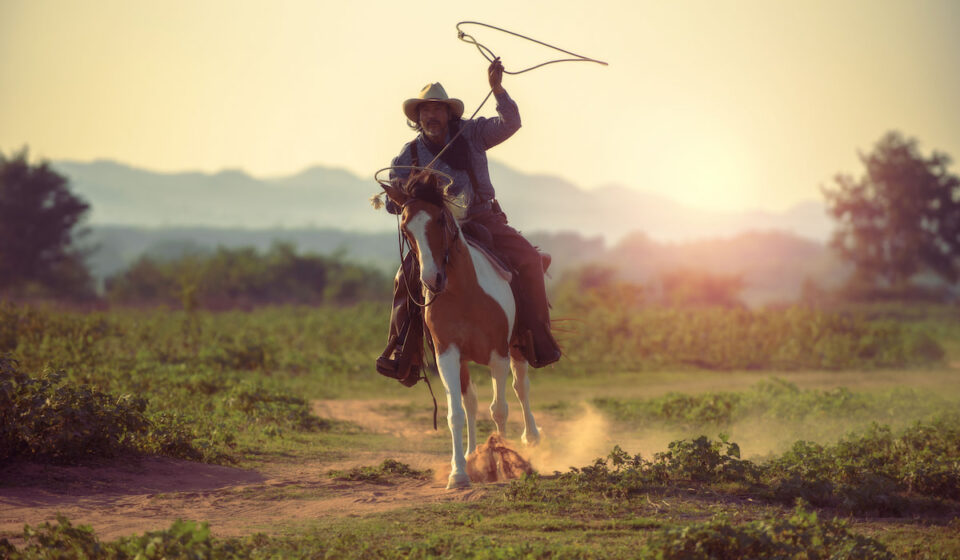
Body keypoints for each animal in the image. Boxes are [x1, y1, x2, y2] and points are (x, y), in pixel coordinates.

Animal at [381, 179, 540, 489]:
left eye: (440, 219)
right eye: (406, 229)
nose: (431, 279)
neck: (464, 291)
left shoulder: (498, 354)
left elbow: (499, 409)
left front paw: (503, 463)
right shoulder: (447, 354)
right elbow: (456, 413)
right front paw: (459, 473)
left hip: (517, 347)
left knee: (521, 387)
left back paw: (531, 439)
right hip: (465, 360)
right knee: (471, 403)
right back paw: (472, 456)